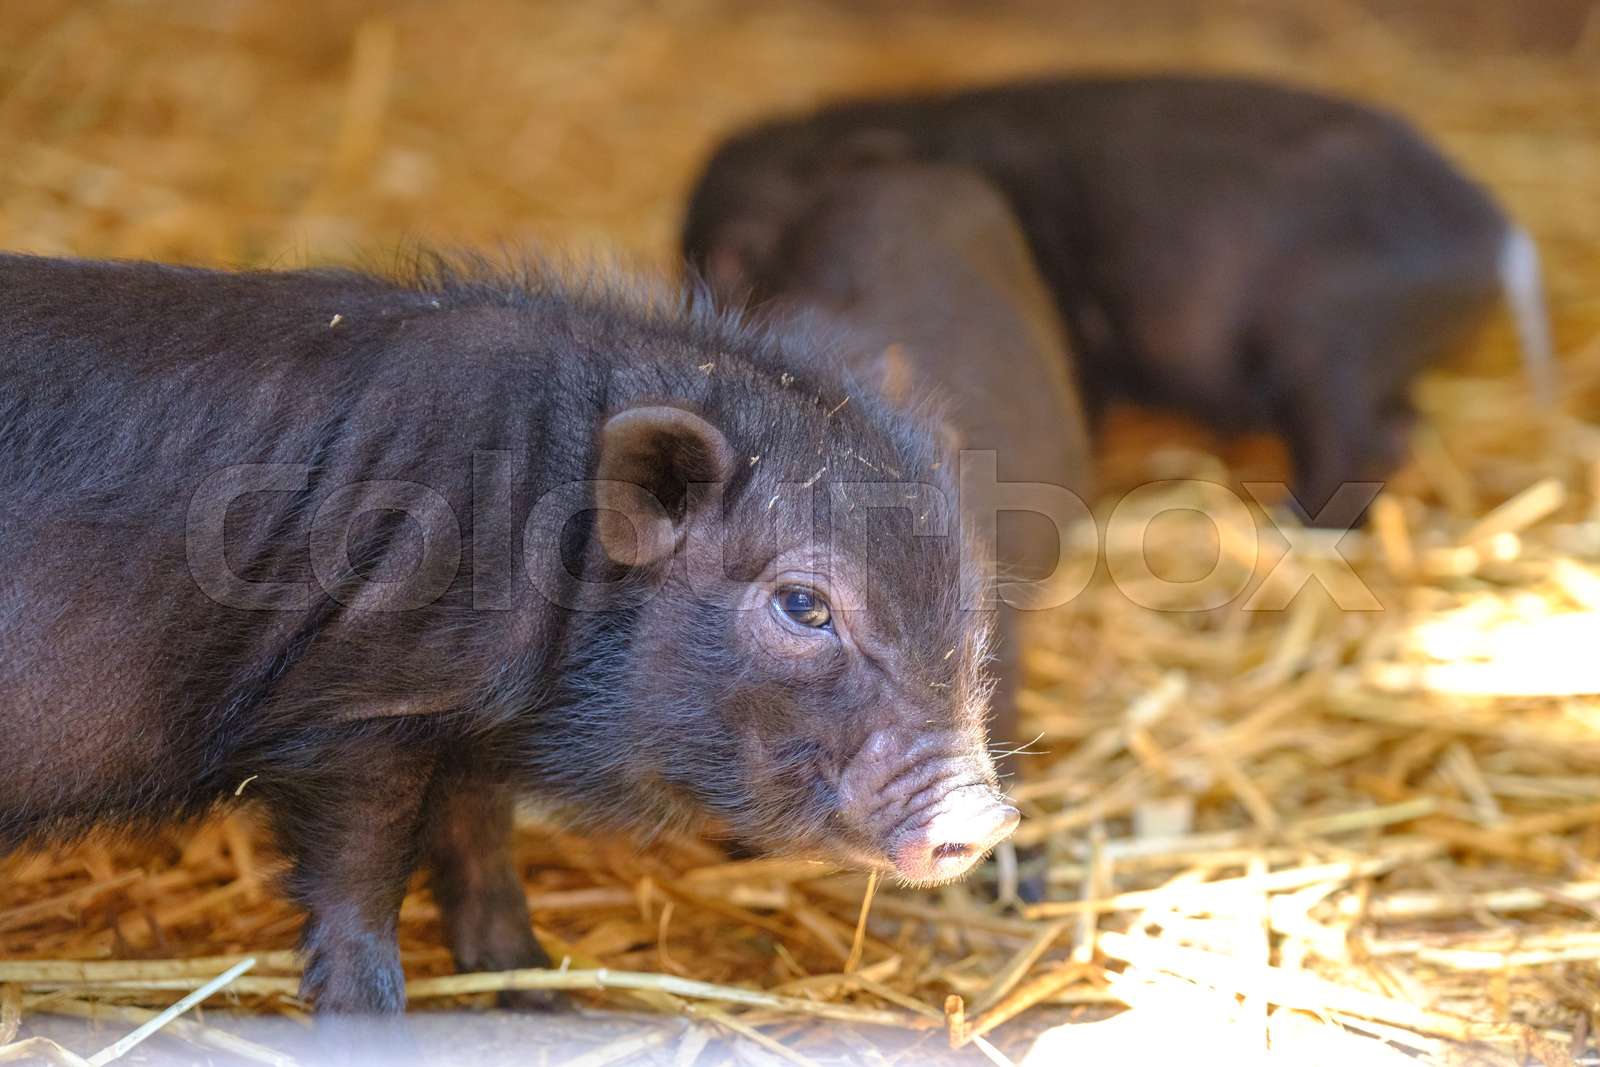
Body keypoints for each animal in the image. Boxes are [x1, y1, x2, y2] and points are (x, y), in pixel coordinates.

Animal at [0, 251, 1019, 1015]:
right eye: (804, 605)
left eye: (970, 597)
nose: (990, 813)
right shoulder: (359, 715)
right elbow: (358, 891)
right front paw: (375, 1019)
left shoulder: (463, 722)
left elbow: (482, 857)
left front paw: (543, 996)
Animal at [681, 73, 1554, 520]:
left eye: (736, 251)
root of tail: (1498, 229)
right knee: (1402, 426)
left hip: (1326, 337)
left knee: (1359, 444)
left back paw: (1285, 522)